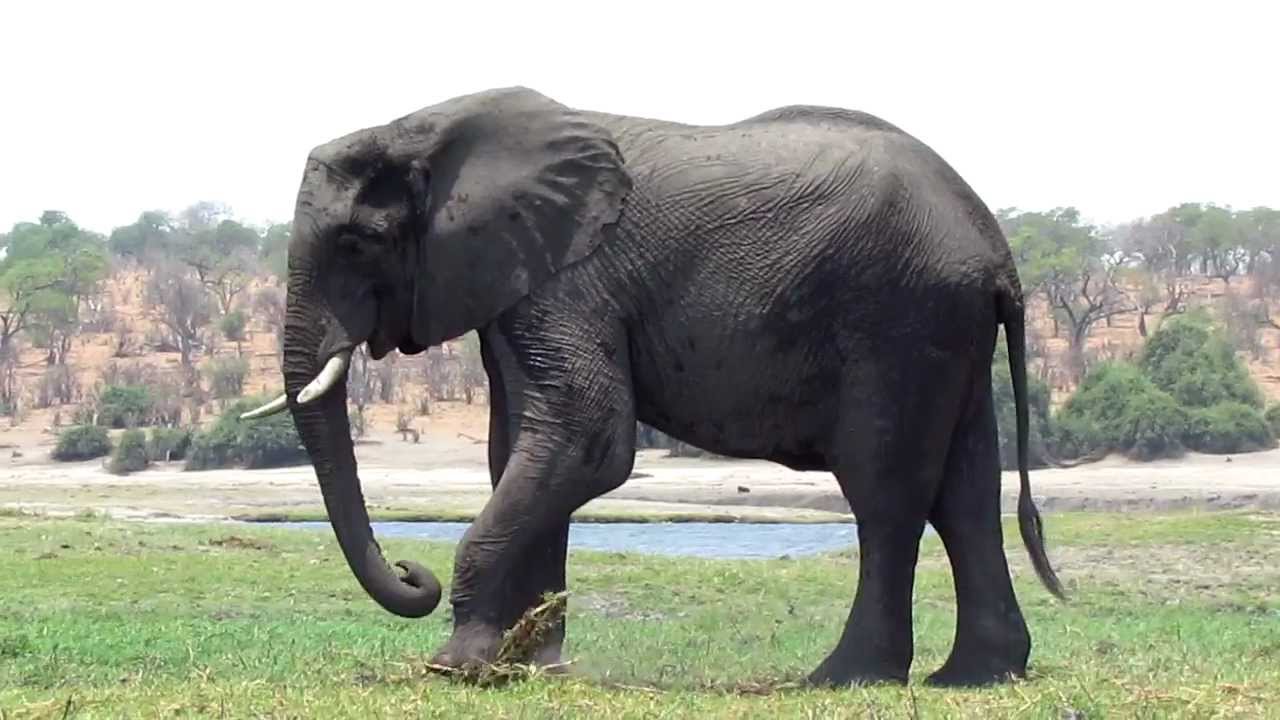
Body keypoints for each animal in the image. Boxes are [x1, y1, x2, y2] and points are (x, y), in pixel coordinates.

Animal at [240, 86, 1064, 687]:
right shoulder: (522, 278)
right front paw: (533, 667)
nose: (416, 571)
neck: (427, 128)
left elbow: (586, 443)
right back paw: (974, 678)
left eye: (360, 242)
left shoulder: (574, 279)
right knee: (965, 493)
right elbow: (521, 447)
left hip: (898, 317)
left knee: (886, 494)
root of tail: (997, 251)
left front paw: (458, 668)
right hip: (946, 327)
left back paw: (842, 679)